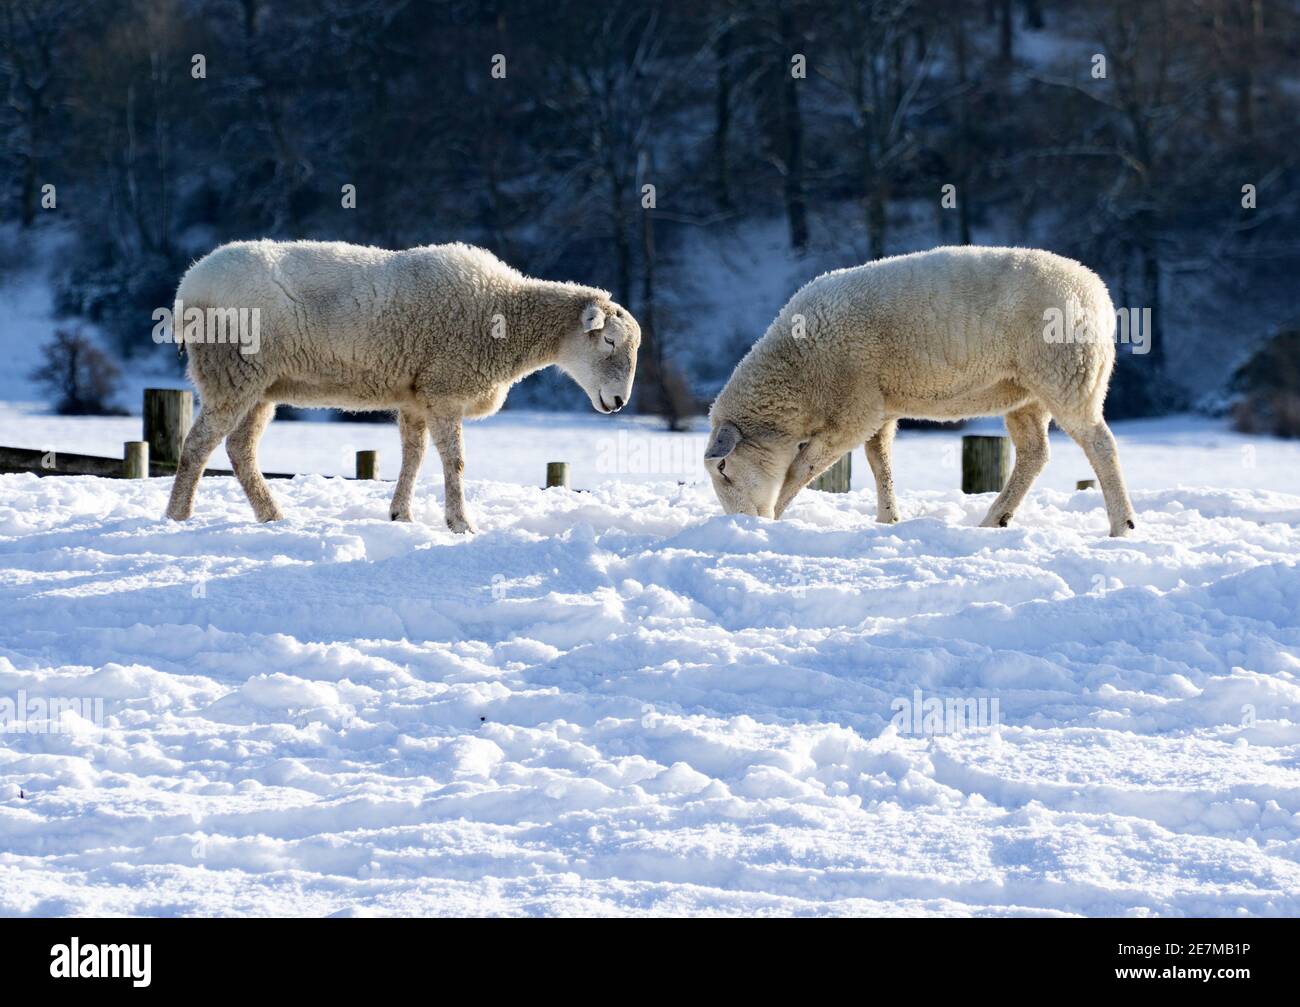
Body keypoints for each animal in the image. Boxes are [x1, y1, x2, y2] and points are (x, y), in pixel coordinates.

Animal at [164, 240, 640, 532]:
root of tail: (187, 285)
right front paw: (460, 524)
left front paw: (401, 515)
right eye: (609, 341)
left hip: (260, 384)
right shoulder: (446, 388)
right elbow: (455, 462)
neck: (505, 313)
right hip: (231, 370)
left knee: (239, 449)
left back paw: (271, 515)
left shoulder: (416, 394)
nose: (618, 402)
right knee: (198, 445)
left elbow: (414, 457)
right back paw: (178, 516)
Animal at [703, 245, 1138, 537]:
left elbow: (803, 466)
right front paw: (887, 518)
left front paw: (776, 514)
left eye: (723, 468)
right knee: (1035, 454)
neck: (798, 373)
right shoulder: (878, 408)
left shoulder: (854, 411)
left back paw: (1122, 525)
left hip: (1067, 375)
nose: (741, 521)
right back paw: (994, 519)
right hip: (1027, 393)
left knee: (1100, 445)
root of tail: (1095, 289)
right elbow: (879, 463)